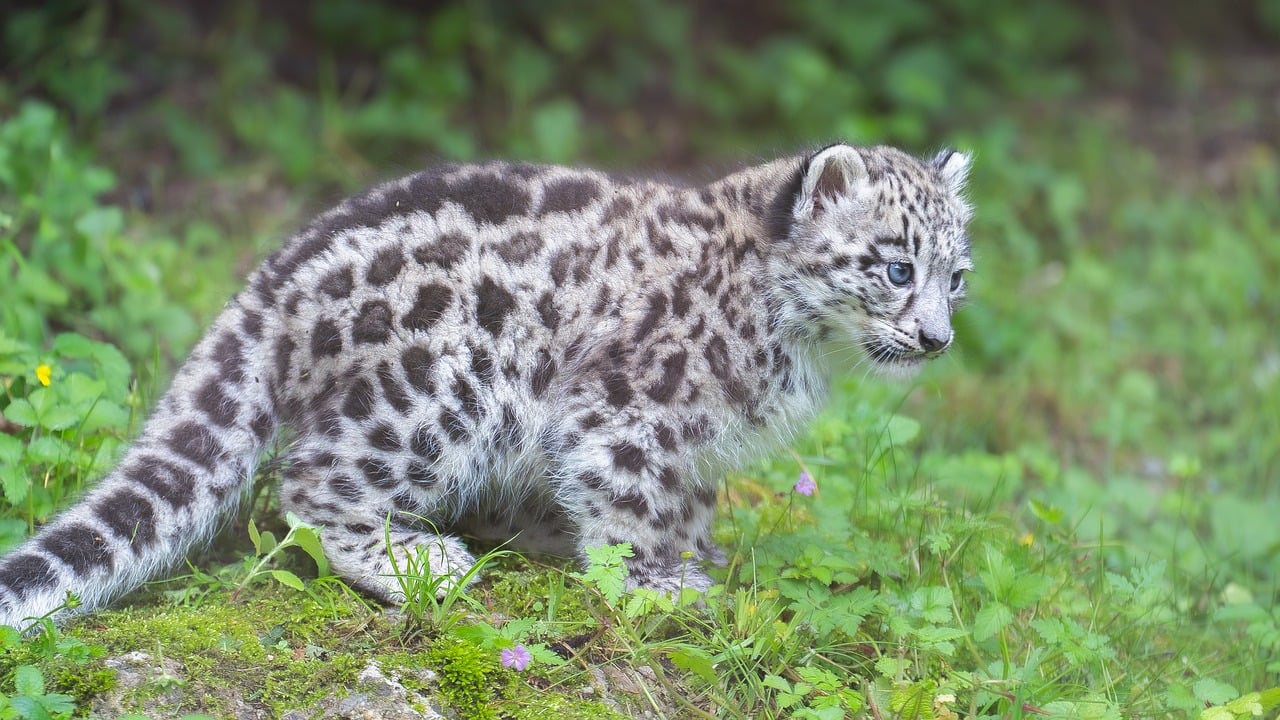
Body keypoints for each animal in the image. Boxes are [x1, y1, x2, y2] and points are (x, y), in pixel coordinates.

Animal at [0, 142, 972, 626]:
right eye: (895, 268)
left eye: (956, 277)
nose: (936, 337)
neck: (795, 339)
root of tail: (268, 282)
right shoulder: (625, 409)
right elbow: (629, 504)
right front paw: (650, 585)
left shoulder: (694, 443)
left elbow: (685, 504)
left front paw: (697, 560)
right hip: (440, 394)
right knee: (310, 485)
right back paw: (419, 564)